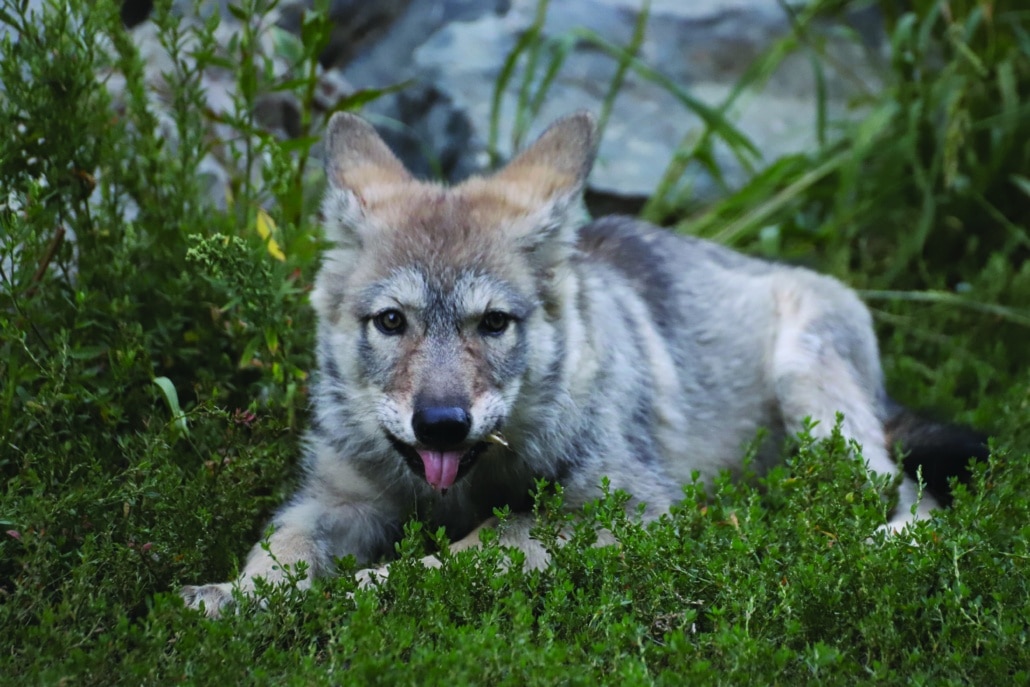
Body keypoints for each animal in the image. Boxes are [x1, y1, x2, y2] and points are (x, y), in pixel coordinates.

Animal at [181, 111, 983, 616]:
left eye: (493, 323)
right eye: (391, 321)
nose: (440, 424)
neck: (462, 486)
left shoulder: (628, 510)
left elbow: (466, 548)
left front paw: (357, 591)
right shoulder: (335, 499)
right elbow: (277, 553)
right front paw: (227, 599)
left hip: (820, 413)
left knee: (913, 500)